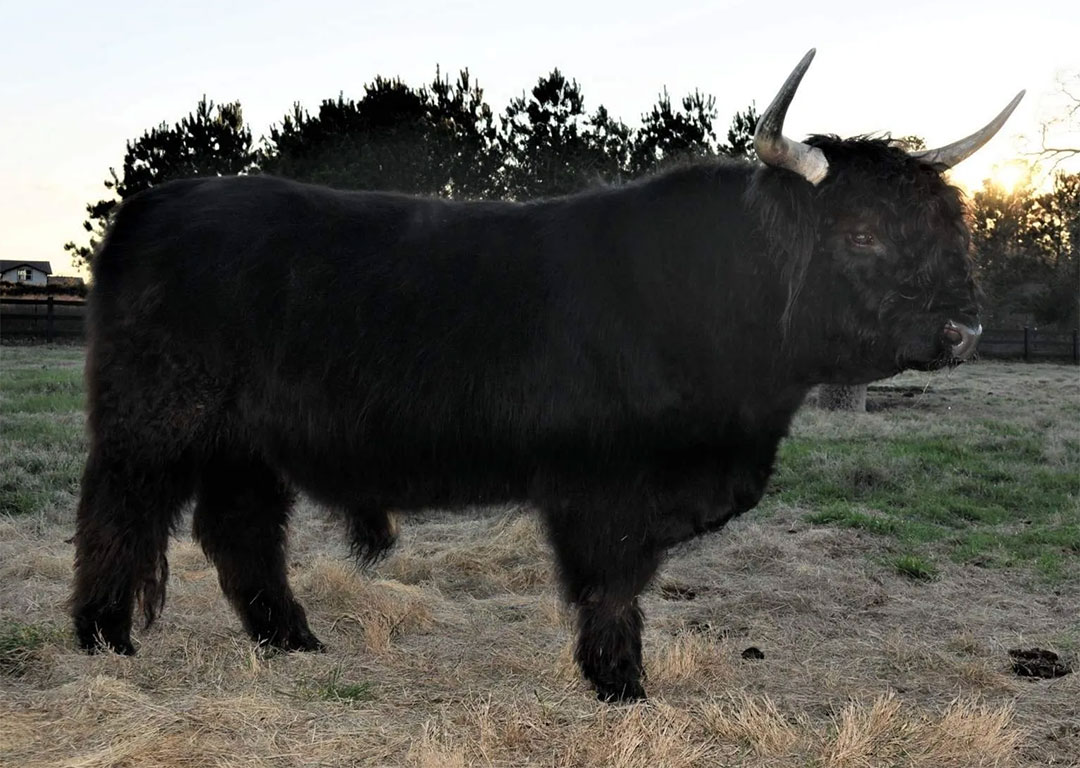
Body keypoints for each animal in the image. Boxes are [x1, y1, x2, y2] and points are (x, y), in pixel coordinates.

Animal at [72, 50, 1022, 702]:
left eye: (947, 228)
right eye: (860, 234)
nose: (965, 328)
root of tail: (159, 200)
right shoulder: (602, 484)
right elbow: (611, 582)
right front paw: (622, 686)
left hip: (246, 438)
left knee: (240, 530)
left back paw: (291, 640)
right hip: (156, 415)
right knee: (121, 511)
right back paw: (103, 638)